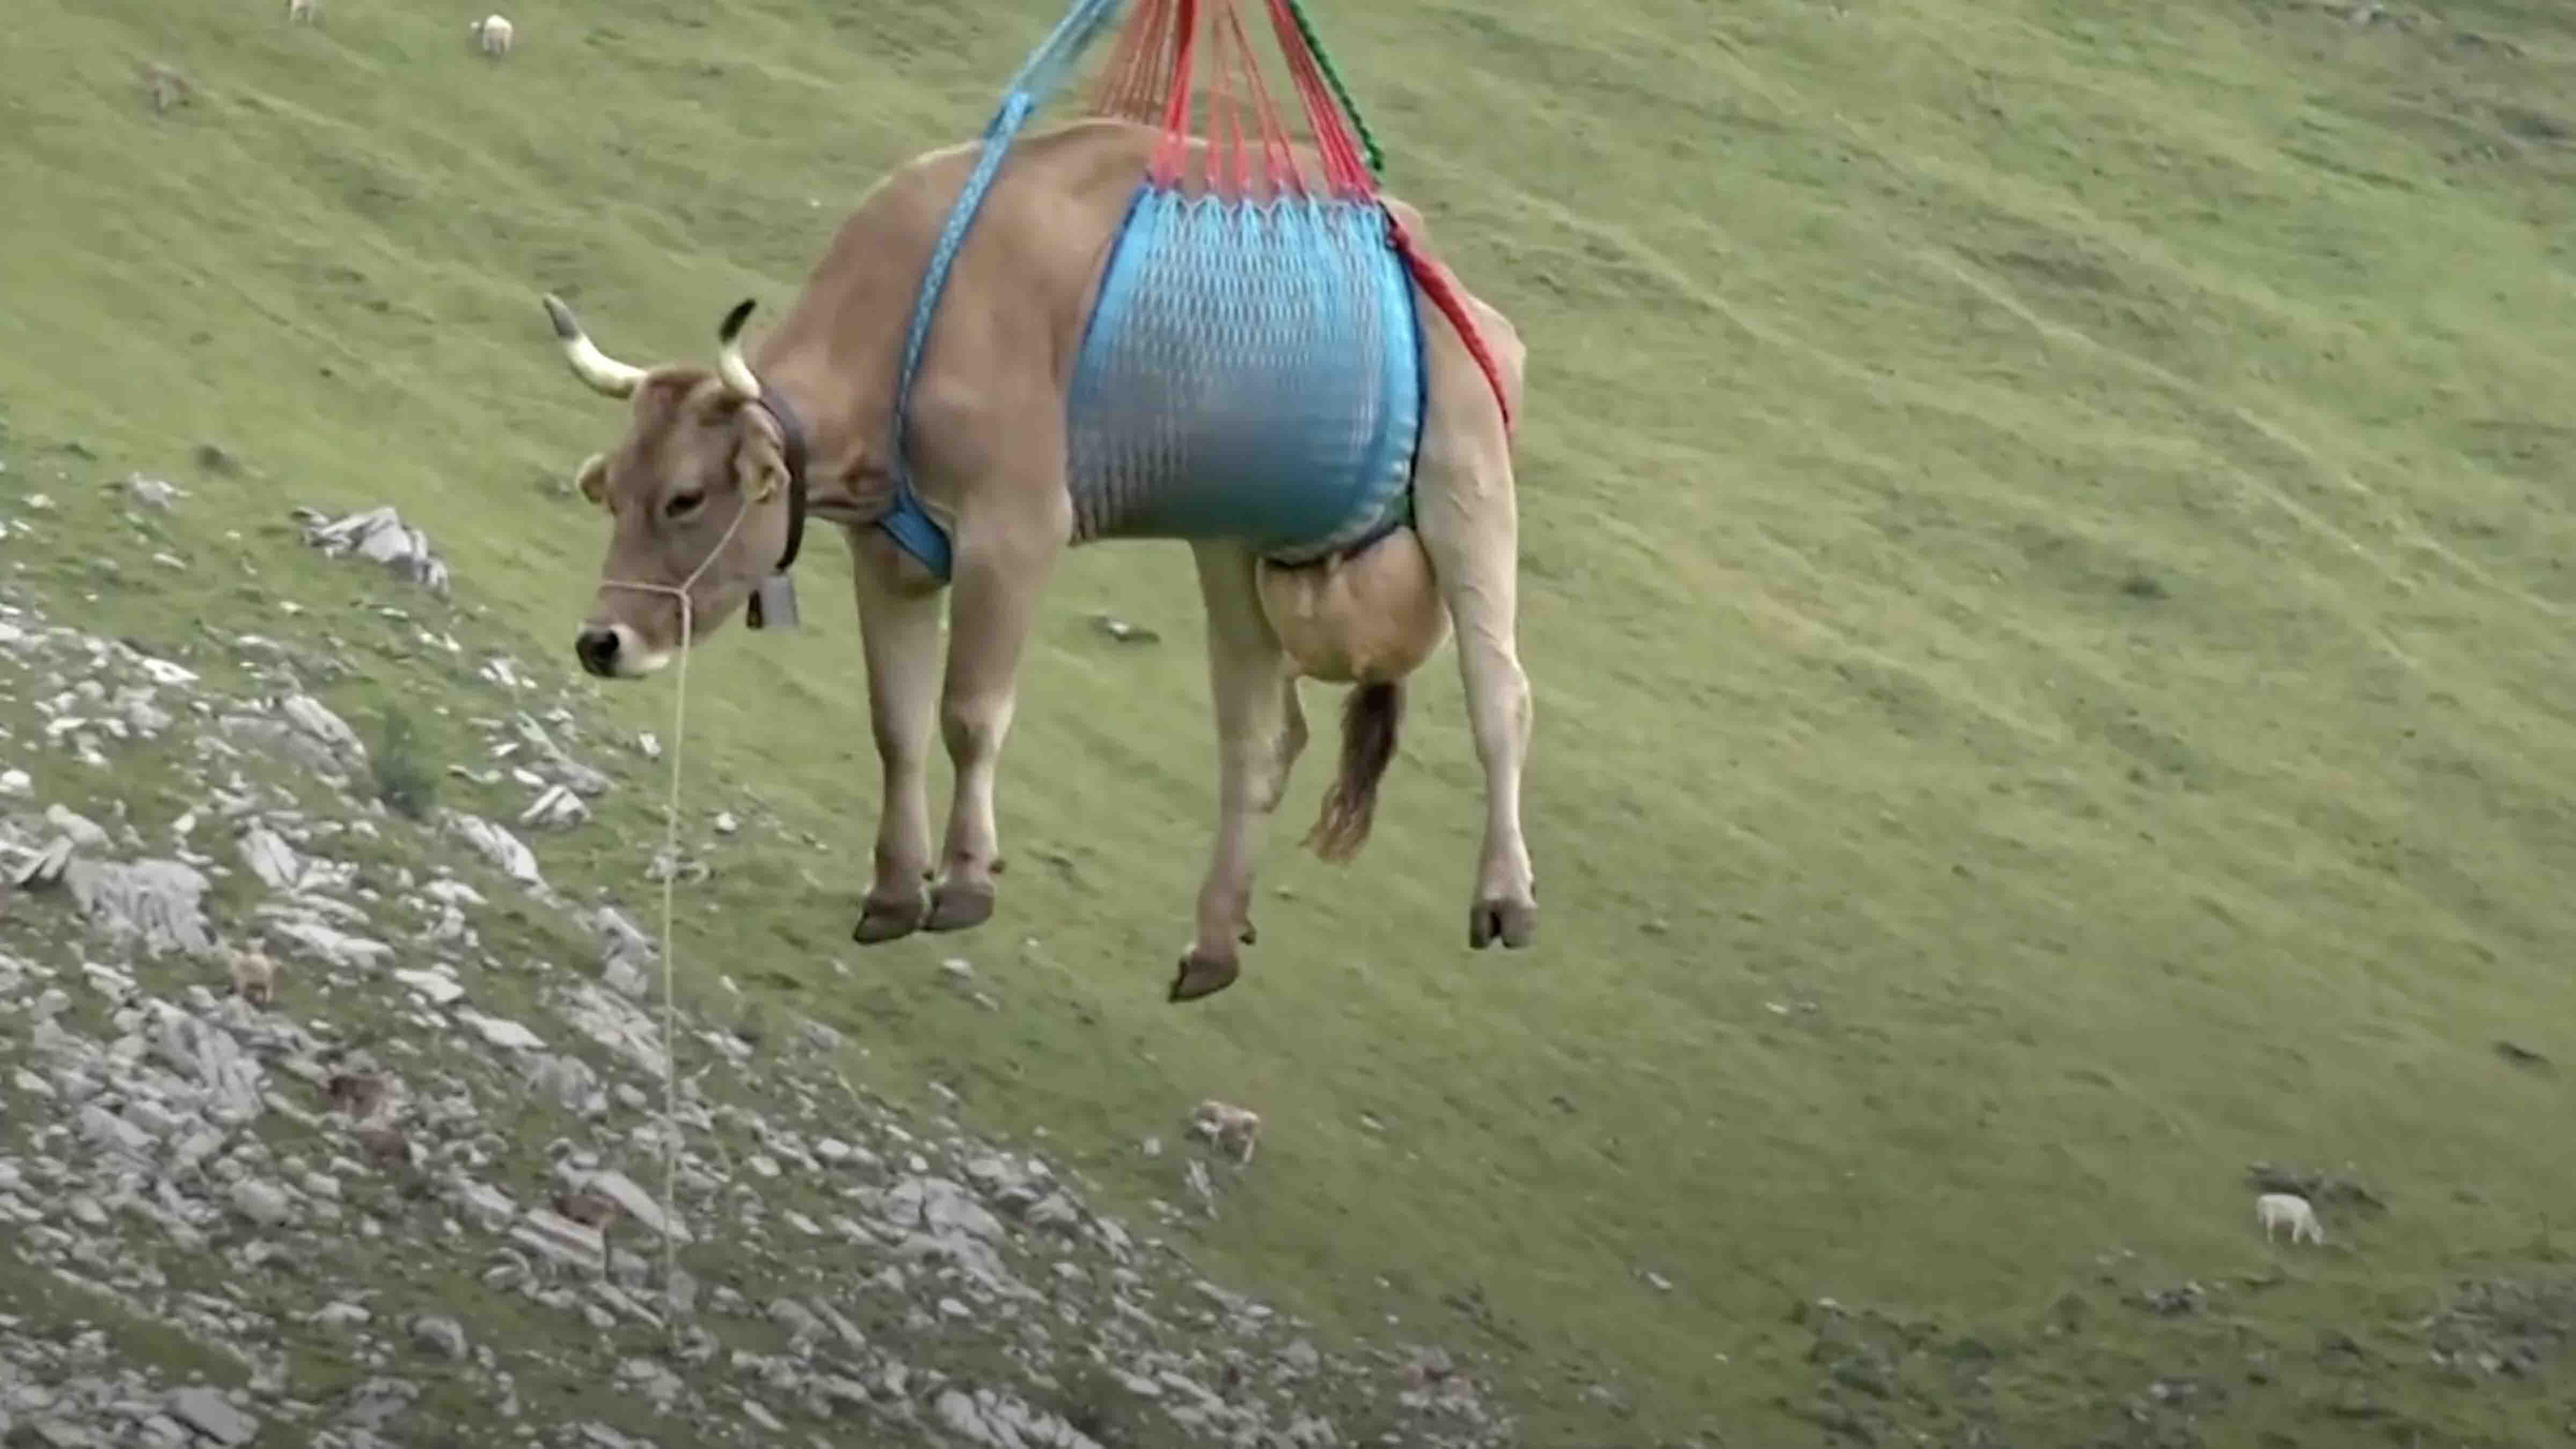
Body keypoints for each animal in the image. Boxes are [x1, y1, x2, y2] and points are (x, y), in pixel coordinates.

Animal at [536, 115, 1535, 1003]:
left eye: (685, 498)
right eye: (612, 491)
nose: (601, 642)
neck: (915, 316)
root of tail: (1442, 274)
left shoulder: (1013, 531)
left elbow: (970, 713)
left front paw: (964, 877)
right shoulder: (890, 556)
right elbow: (895, 722)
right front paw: (893, 889)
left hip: (1467, 482)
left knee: (1500, 700)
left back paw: (1504, 894)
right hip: (1231, 544)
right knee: (1258, 739)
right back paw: (1214, 942)